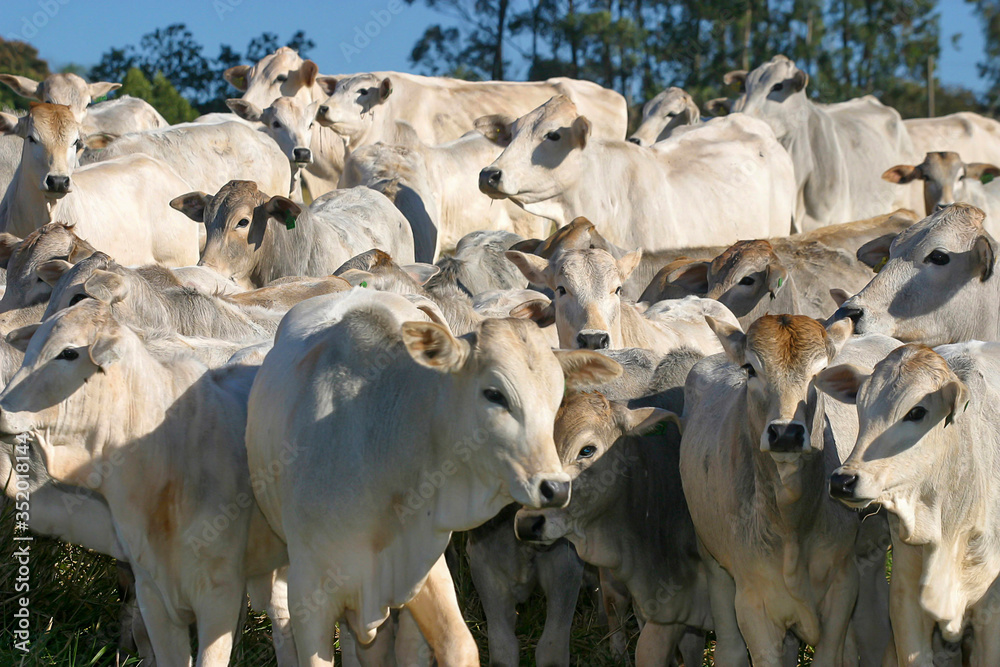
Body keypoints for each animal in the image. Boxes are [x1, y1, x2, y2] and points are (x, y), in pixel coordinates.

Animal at [244, 288, 621, 666]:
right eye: (494, 394)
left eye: (556, 399)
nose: (554, 487)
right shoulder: (309, 599)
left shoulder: (419, 565)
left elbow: (457, 645)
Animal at [680, 315, 899, 665]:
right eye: (751, 368)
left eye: (819, 373)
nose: (785, 433)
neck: (792, 523)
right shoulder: (753, 603)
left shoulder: (843, 587)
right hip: (713, 562)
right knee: (730, 647)